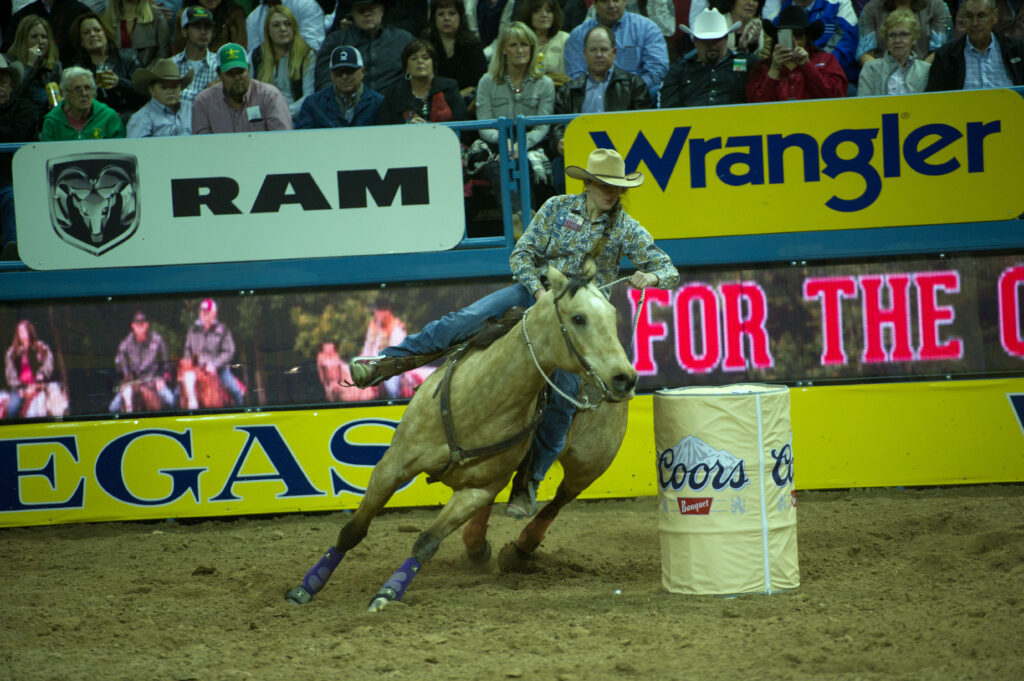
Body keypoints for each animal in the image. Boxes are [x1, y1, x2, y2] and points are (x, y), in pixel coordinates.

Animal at [285, 258, 637, 611]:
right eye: (578, 318)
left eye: (612, 314)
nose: (625, 378)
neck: (481, 401)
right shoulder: (392, 465)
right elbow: (352, 530)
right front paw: (307, 586)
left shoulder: (475, 491)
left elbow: (426, 542)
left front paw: (388, 594)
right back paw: (476, 545)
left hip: (588, 468)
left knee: (557, 503)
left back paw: (518, 549)